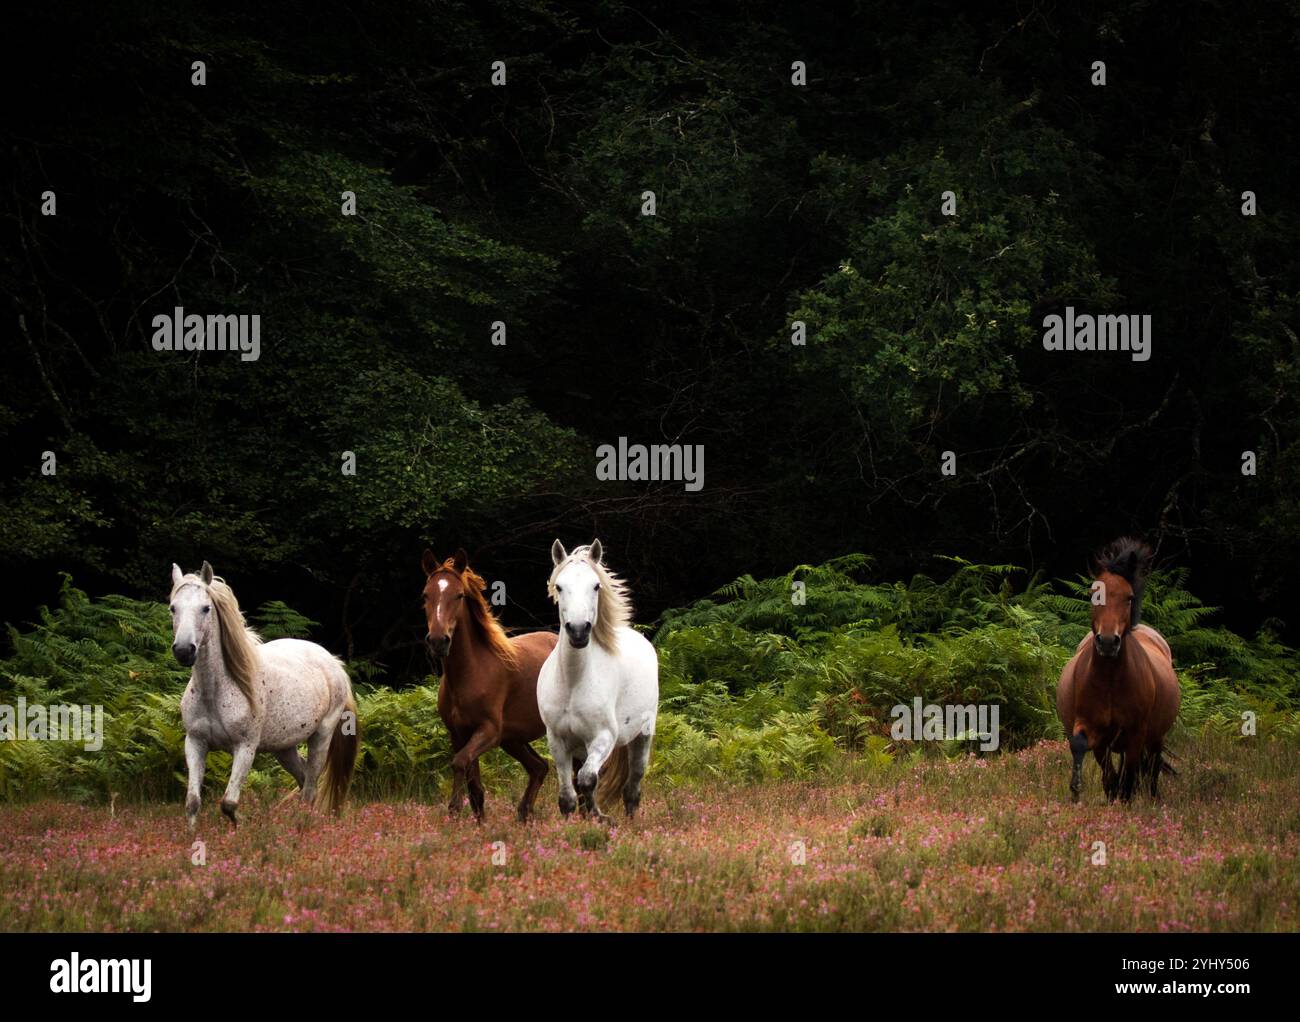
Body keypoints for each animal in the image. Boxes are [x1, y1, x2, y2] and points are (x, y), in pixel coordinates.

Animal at [169, 562, 358, 828]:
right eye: (173, 608)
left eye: (206, 608)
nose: (184, 650)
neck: (216, 691)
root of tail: (334, 663)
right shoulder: (195, 743)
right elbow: (193, 802)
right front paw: (192, 835)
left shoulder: (245, 747)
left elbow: (228, 803)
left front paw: (240, 830)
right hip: (284, 748)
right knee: (304, 780)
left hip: (321, 737)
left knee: (310, 788)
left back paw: (302, 828)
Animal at [420, 548, 557, 821]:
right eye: (426, 594)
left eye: (459, 595)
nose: (438, 641)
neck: (470, 672)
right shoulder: (460, 733)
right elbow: (475, 787)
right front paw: (478, 823)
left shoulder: (489, 730)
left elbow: (459, 763)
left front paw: (453, 812)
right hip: (513, 739)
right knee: (539, 767)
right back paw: (524, 815)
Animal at [538, 540, 658, 823]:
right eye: (559, 586)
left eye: (595, 586)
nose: (578, 631)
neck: (573, 681)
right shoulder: (557, 740)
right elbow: (567, 797)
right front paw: (572, 823)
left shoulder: (603, 737)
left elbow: (588, 780)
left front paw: (600, 817)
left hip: (642, 736)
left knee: (632, 785)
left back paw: (630, 821)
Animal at [1056, 538, 1180, 803]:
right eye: (1094, 595)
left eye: (1129, 597)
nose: (1107, 642)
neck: (1110, 682)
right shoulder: (1093, 730)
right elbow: (1094, 759)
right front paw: (1080, 790)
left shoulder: (1135, 733)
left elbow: (1130, 775)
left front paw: (1124, 801)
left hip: (1156, 736)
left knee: (1152, 766)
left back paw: (1153, 798)